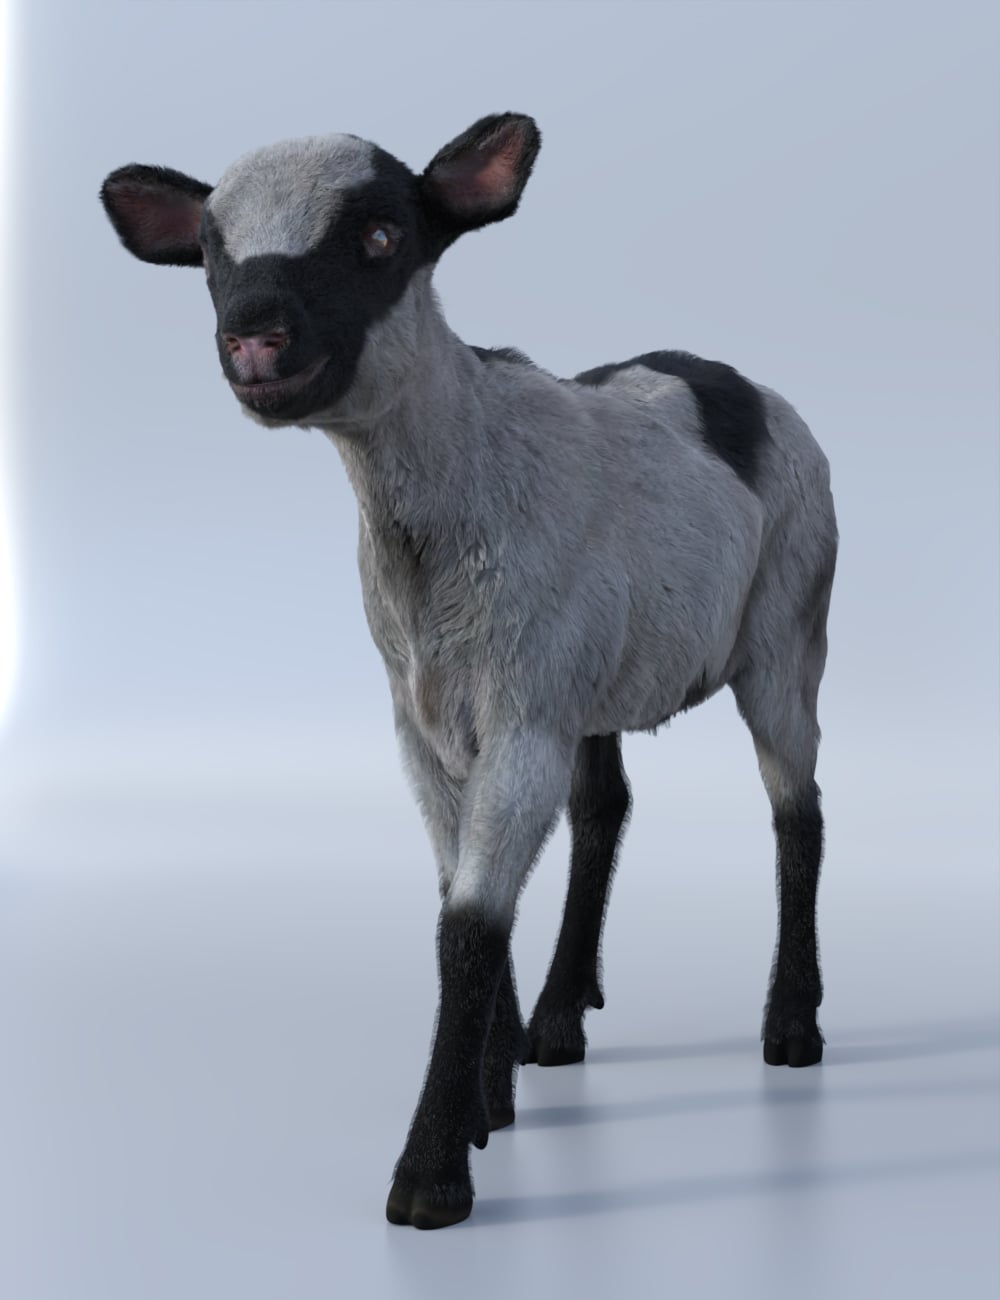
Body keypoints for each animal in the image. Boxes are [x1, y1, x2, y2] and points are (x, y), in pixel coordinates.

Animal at [100, 113, 837, 1230]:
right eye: (213, 252)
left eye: (380, 236)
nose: (256, 340)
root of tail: (741, 382)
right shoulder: (430, 722)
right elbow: (464, 897)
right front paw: (491, 1100)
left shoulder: (521, 715)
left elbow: (469, 926)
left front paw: (431, 1175)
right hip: (595, 671)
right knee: (606, 807)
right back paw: (559, 1022)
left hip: (789, 620)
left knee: (798, 808)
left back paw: (791, 1026)